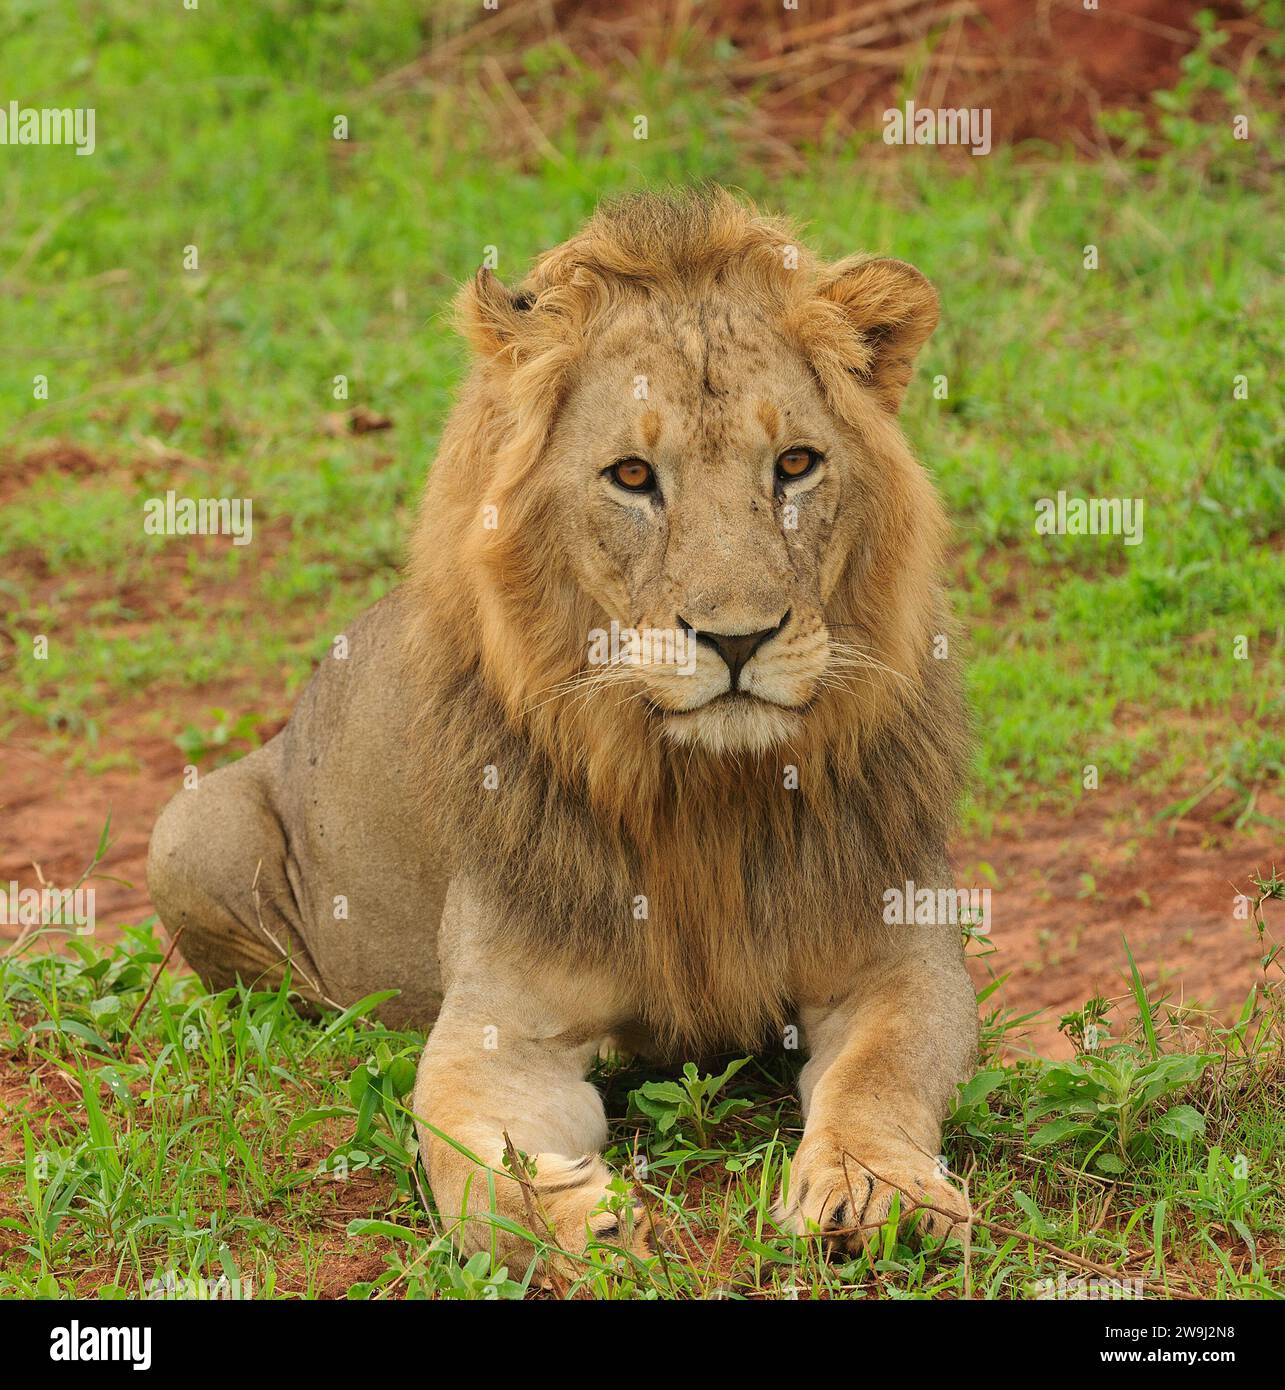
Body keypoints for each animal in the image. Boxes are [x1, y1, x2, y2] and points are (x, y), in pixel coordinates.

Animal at [148, 186, 978, 1261]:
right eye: (630, 477)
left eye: (796, 464)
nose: (737, 638)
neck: (704, 794)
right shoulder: (502, 1026)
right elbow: (468, 1161)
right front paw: (581, 1218)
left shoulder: (900, 960)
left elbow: (880, 1073)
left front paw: (873, 1191)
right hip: (186, 831)